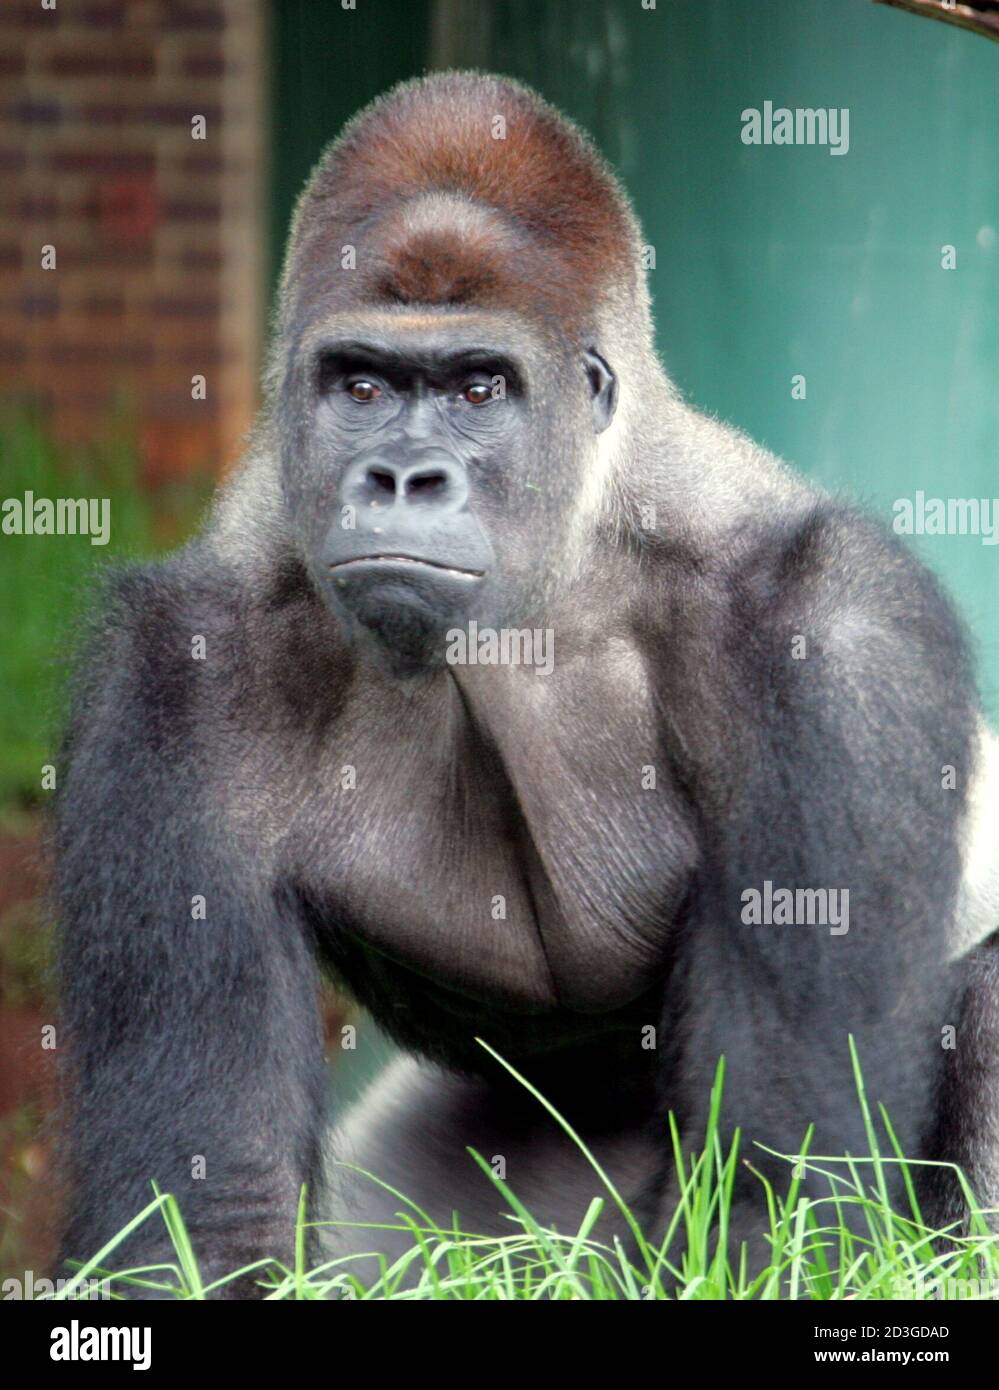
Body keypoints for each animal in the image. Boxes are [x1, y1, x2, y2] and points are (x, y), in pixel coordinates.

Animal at [54, 72, 999, 1295]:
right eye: (362, 384)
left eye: (477, 389)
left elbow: (775, 1193)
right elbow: (207, 1212)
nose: (403, 477)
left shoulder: (838, 638)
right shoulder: (171, 677)